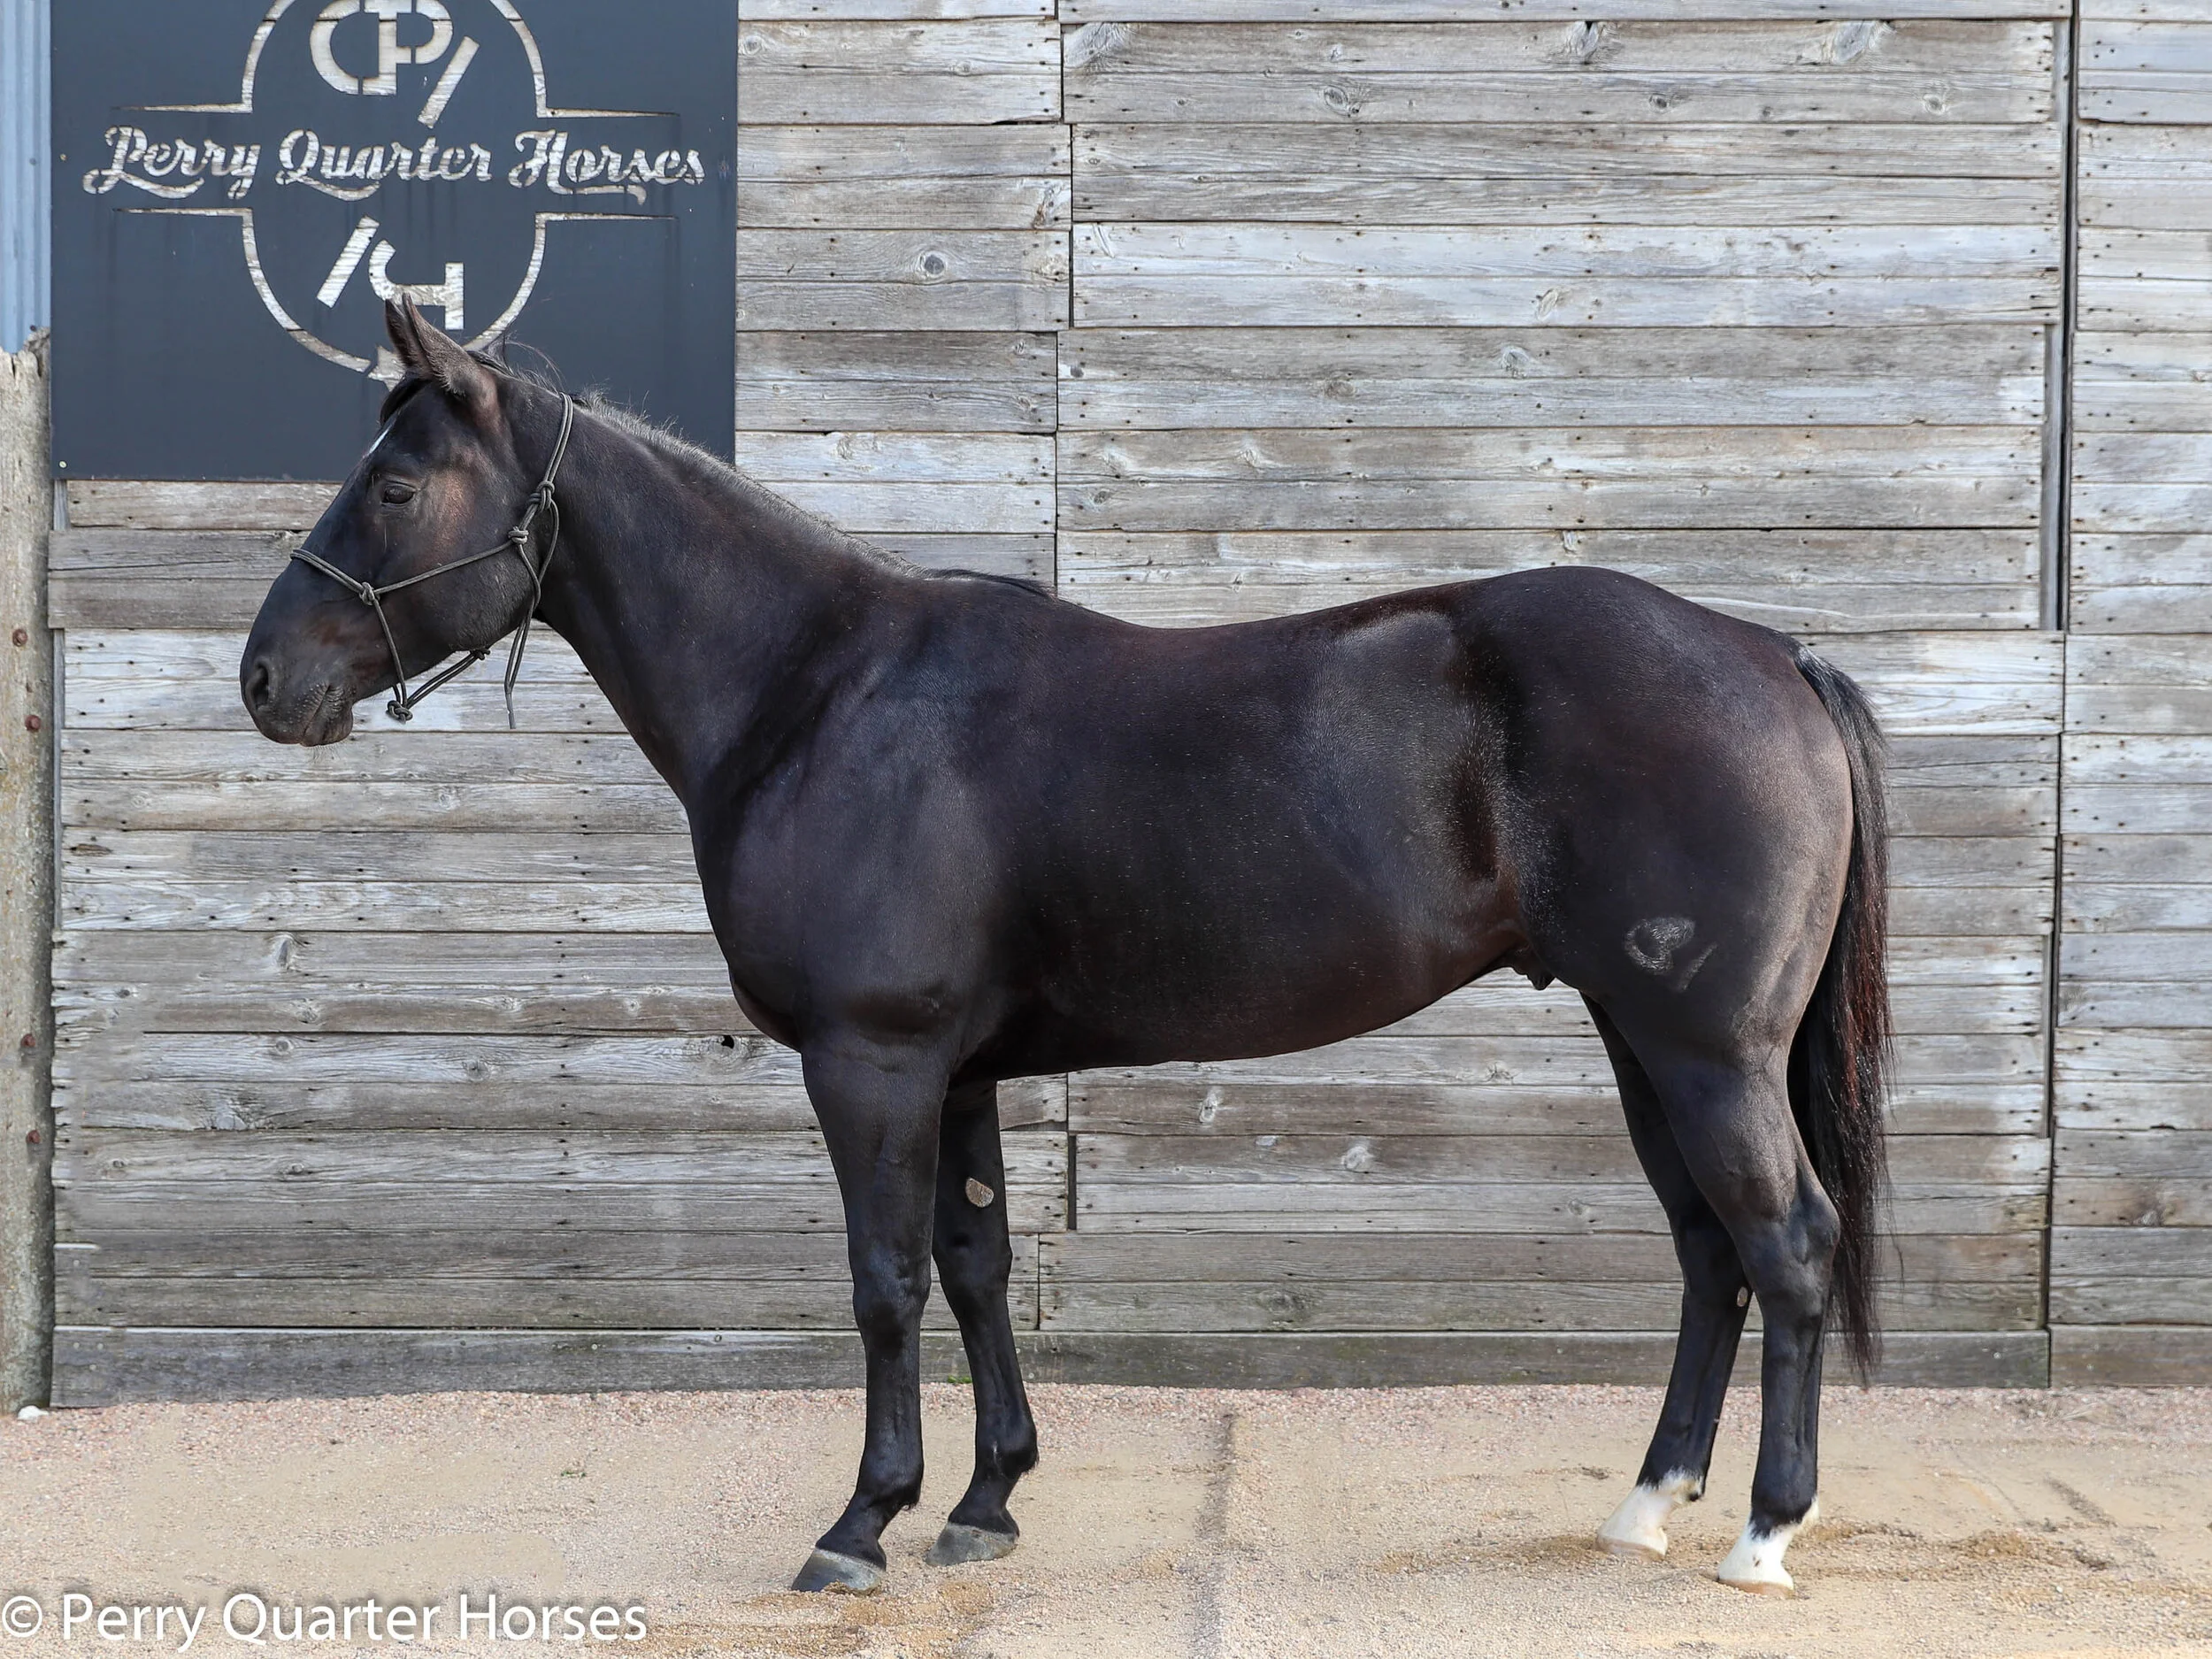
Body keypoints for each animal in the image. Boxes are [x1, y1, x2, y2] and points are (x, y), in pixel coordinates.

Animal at [240, 299, 1891, 1599]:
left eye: (395, 484)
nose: (264, 677)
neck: (817, 690)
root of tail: (1768, 653)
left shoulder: (874, 1060)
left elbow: (885, 1282)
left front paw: (863, 1521)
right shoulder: (958, 1068)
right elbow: (977, 1264)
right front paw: (986, 1501)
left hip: (1706, 1049)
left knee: (1787, 1242)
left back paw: (1765, 1530)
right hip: (1641, 1041)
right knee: (1710, 1252)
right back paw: (1648, 1504)